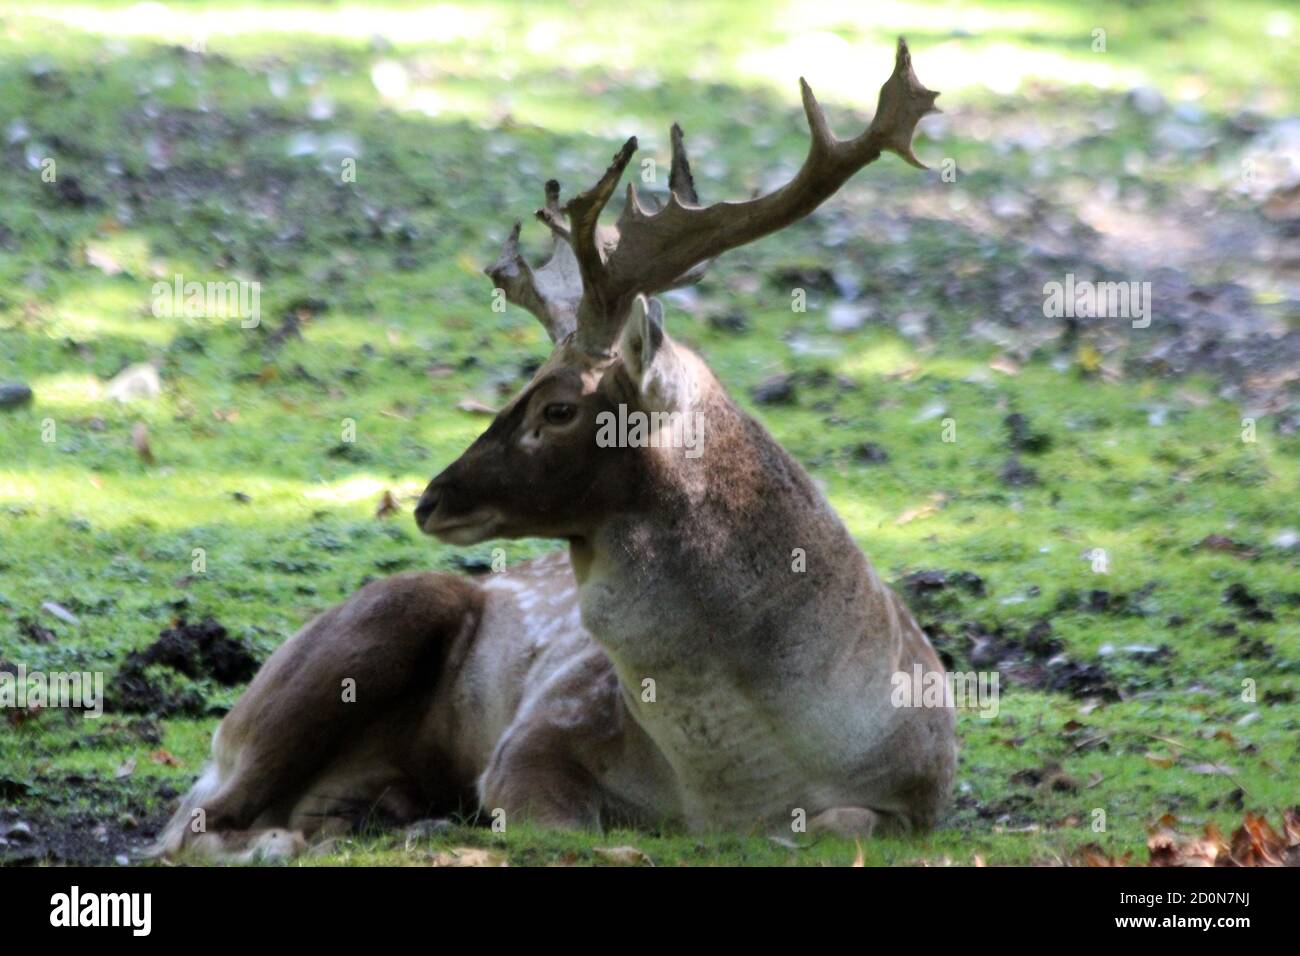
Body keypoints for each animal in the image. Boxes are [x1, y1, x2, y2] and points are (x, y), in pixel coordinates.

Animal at [153, 38, 955, 860]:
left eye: (558, 406)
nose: (430, 500)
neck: (735, 781)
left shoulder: (923, 794)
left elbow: (842, 821)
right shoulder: (543, 728)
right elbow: (587, 832)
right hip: (359, 632)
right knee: (189, 823)